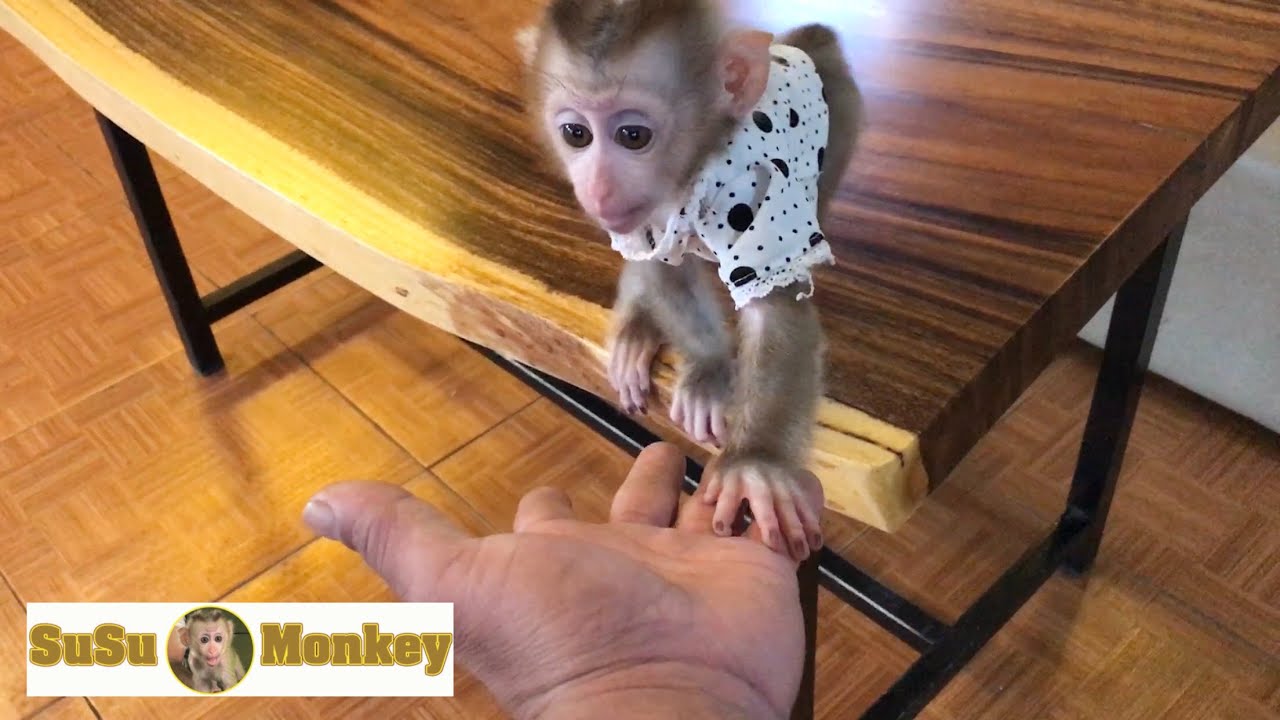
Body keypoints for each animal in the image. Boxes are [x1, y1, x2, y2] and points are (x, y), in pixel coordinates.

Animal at [517, 0, 862, 561]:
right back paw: (640, 324)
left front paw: (756, 462)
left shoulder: (761, 190)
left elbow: (773, 305)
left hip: (843, 114)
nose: (599, 186)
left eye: (633, 136)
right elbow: (662, 266)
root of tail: (804, 43)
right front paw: (711, 366)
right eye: (576, 134)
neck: (694, 170)